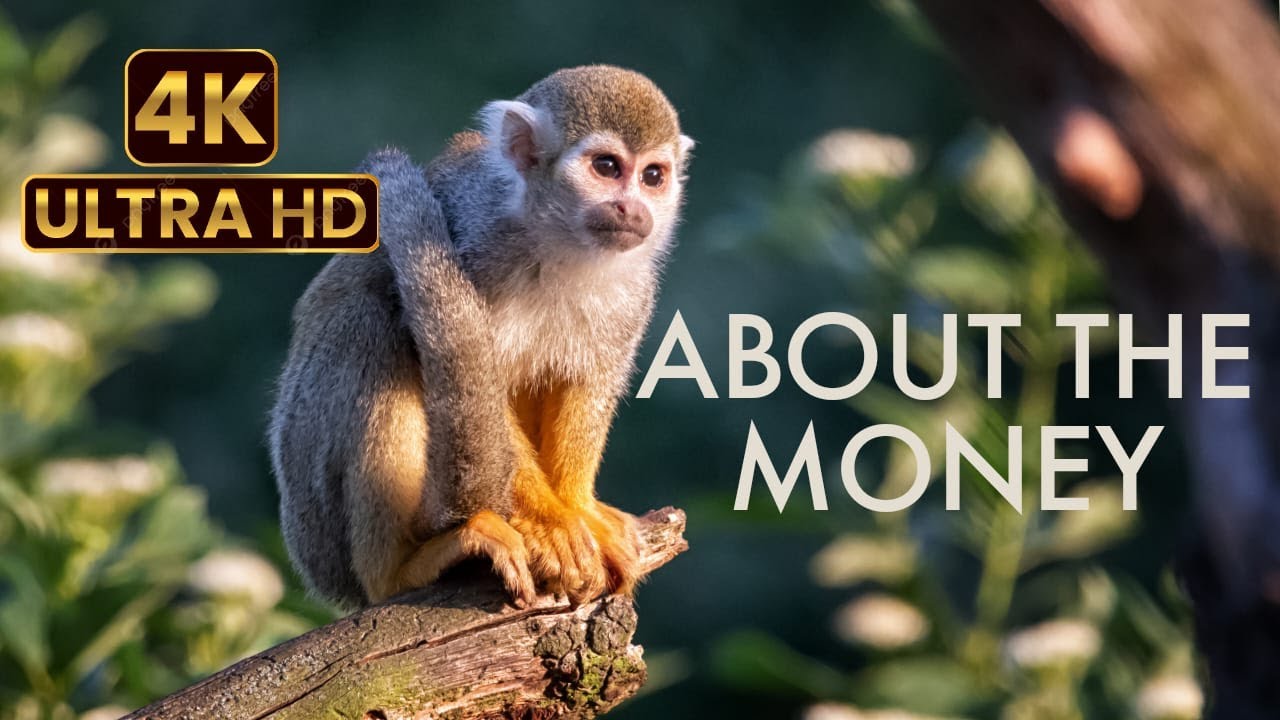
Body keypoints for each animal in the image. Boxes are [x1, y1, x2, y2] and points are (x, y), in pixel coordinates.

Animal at [268, 65, 694, 609]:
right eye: (606, 166)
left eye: (653, 176)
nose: (632, 209)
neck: (552, 242)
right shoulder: (471, 241)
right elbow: (473, 374)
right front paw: (551, 522)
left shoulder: (635, 289)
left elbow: (587, 384)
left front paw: (578, 506)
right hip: (315, 507)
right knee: (372, 324)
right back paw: (398, 572)